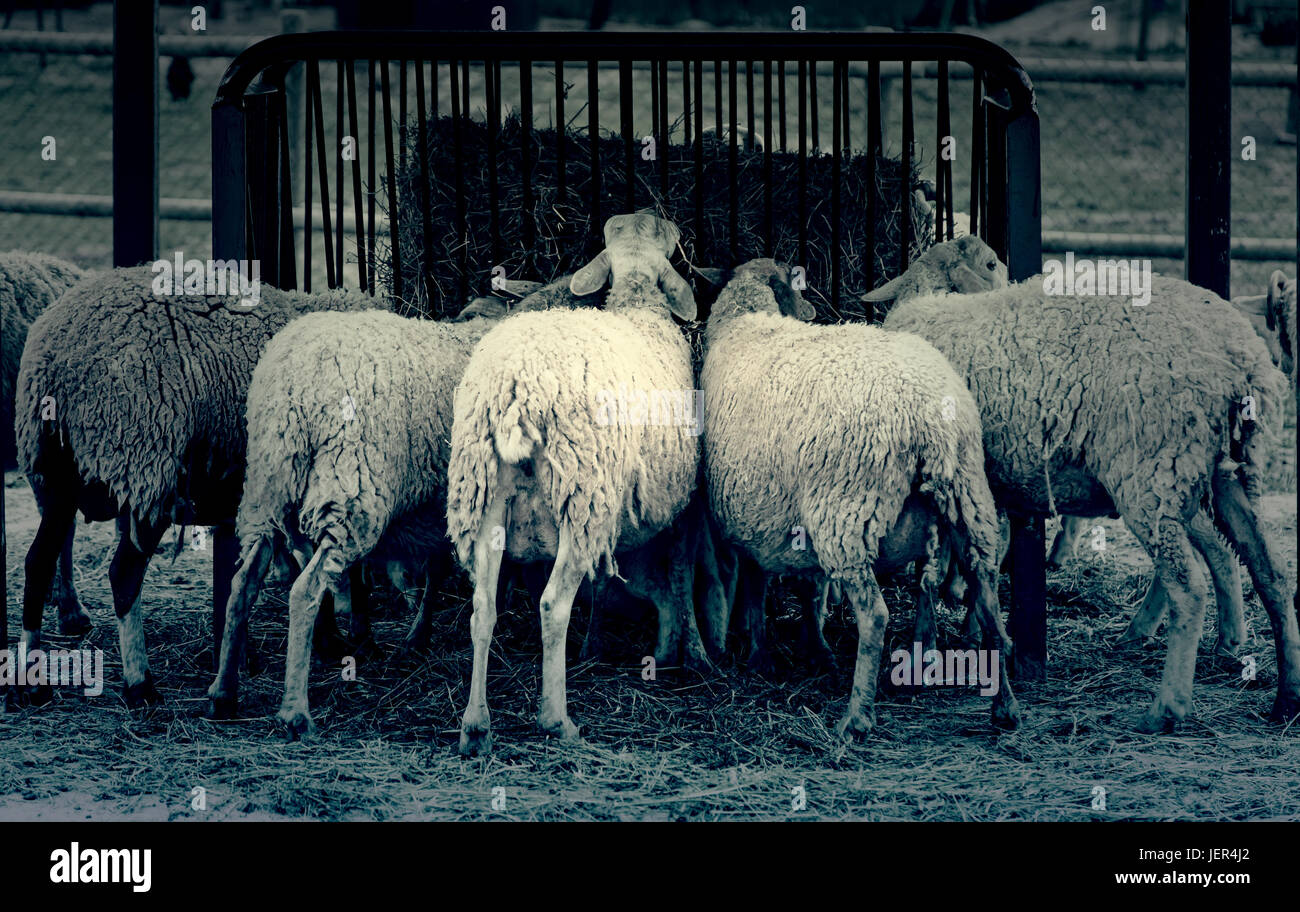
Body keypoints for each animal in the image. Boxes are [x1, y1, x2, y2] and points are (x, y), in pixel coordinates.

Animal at [15, 267, 375, 705]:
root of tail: (56, 357)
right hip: (148, 462)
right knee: (123, 575)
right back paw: (140, 684)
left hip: (56, 474)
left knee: (37, 562)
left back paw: (33, 678)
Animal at [206, 298, 505, 731]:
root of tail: (291, 388)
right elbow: (437, 573)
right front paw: (417, 636)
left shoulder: (435, 510)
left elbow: (432, 571)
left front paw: (408, 636)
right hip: (348, 485)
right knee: (306, 589)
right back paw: (294, 711)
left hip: (269, 486)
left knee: (243, 583)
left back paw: (223, 693)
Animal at [445, 212, 703, 754]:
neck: (638, 300)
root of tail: (518, 389)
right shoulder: (680, 509)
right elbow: (680, 575)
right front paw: (686, 650)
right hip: (581, 496)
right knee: (552, 604)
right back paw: (556, 719)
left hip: (483, 492)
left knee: (482, 608)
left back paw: (475, 726)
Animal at [701, 258, 1019, 736]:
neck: (745, 318)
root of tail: (930, 418)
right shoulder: (784, 516)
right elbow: (809, 588)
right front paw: (814, 648)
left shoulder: (754, 517)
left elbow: (758, 586)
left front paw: (761, 653)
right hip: (968, 497)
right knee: (989, 599)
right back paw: (1005, 706)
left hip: (846, 512)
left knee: (875, 616)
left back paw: (856, 718)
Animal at [873, 236, 1299, 730]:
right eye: (992, 263)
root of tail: (1241, 358)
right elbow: (971, 565)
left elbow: (932, 571)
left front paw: (925, 650)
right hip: (1231, 473)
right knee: (1271, 572)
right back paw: (1286, 697)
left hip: (1151, 468)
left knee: (1188, 585)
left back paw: (1166, 708)